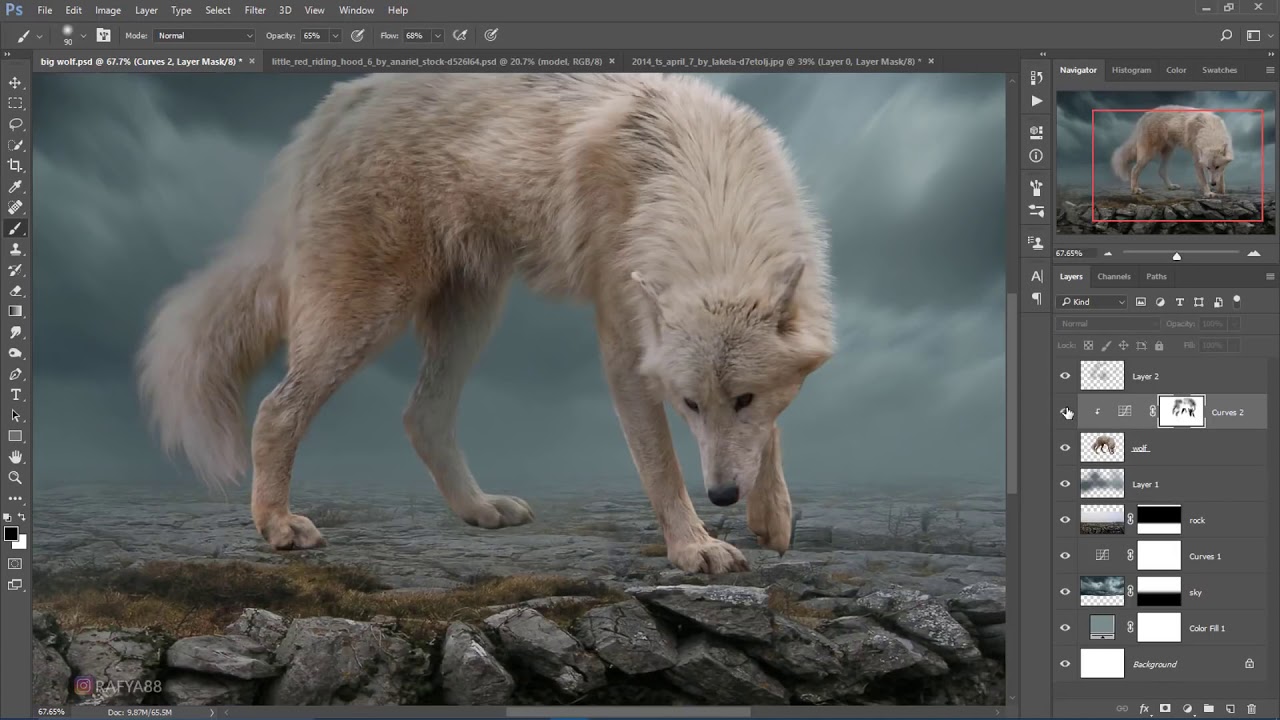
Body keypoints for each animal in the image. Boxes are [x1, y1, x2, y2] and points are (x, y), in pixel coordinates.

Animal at [137, 74, 835, 575]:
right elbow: (660, 466)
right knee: (277, 411)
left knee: (421, 417)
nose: (721, 497)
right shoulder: (623, 350)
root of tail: (335, 105)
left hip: (472, 313)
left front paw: (772, 515)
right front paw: (694, 547)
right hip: (369, 314)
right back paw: (278, 525)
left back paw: (478, 509)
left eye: (742, 399)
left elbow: (769, 436)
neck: (704, 183)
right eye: (688, 404)